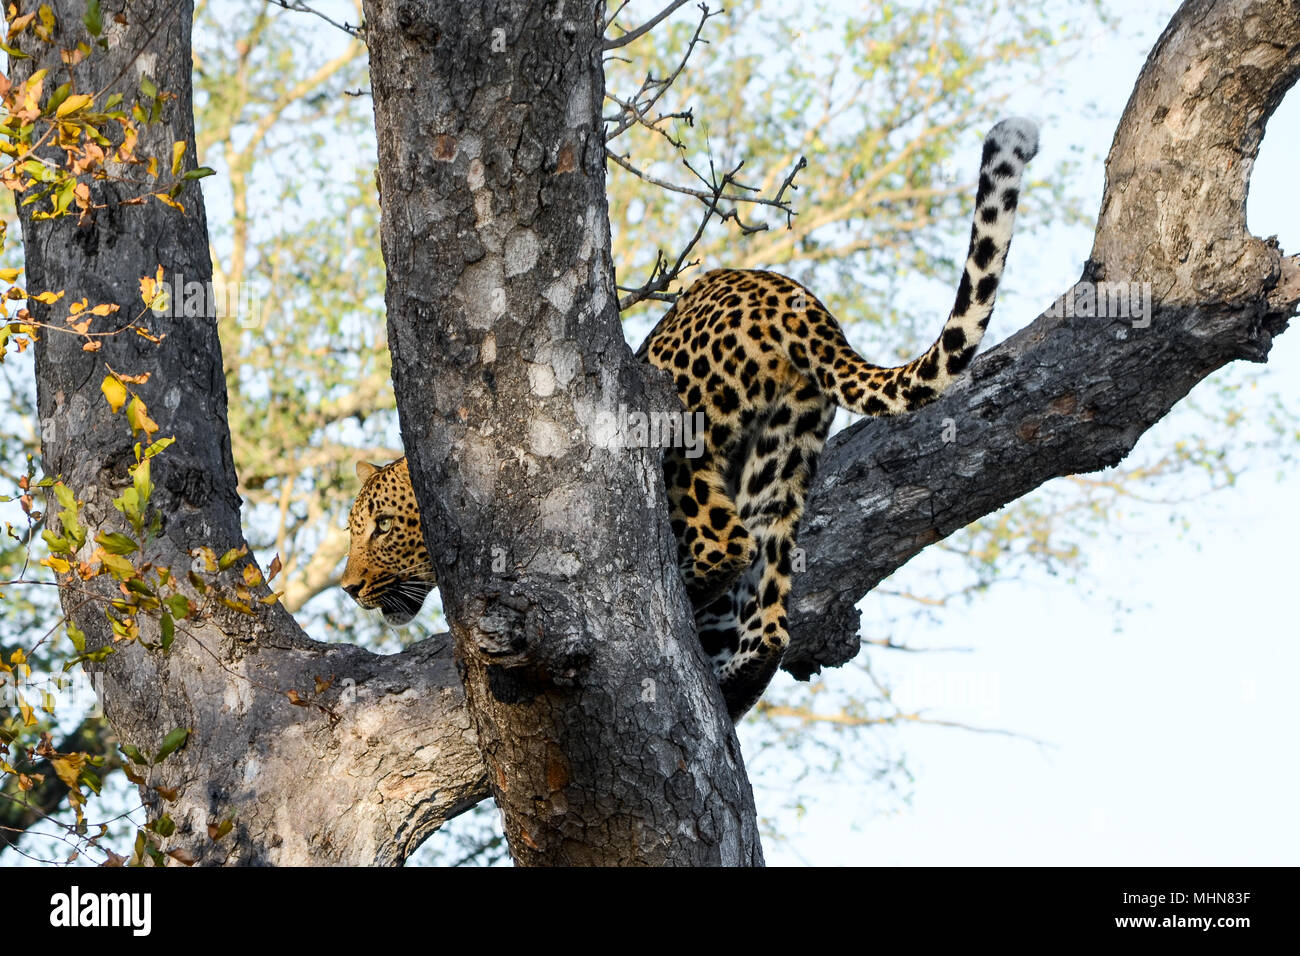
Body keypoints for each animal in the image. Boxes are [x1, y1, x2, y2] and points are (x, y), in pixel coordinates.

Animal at [341, 118, 1038, 721]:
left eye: (380, 528)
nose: (347, 587)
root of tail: (788, 297)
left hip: (684, 441)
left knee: (724, 543)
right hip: (783, 458)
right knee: (769, 612)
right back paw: (732, 684)